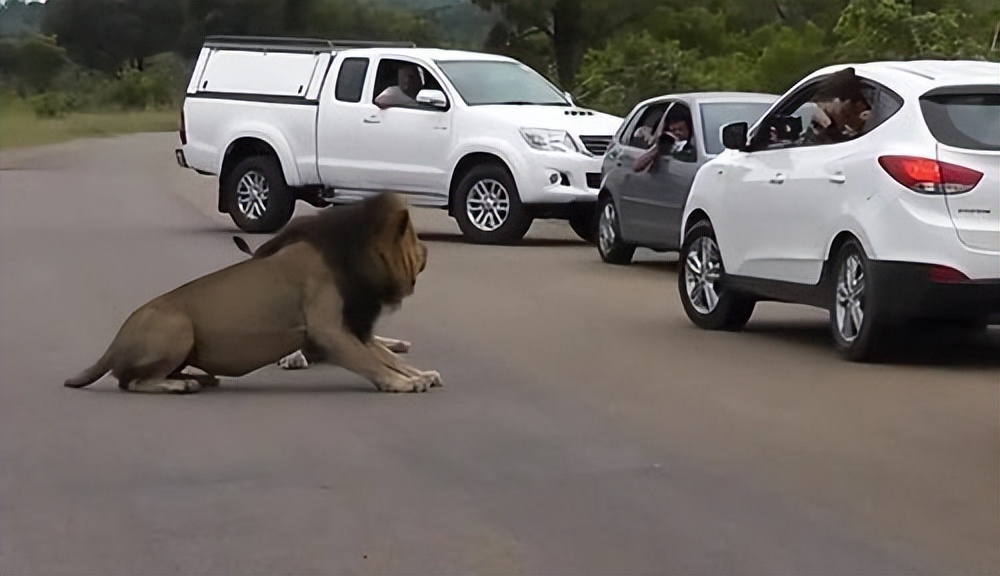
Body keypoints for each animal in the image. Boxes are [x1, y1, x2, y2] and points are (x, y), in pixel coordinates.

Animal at [63, 192, 441, 394]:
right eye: (416, 241)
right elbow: (371, 362)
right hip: (177, 328)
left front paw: (419, 375)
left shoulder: (354, 325)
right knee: (130, 381)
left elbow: (388, 356)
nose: (428, 252)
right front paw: (400, 384)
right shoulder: (328, 331)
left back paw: (198, 378)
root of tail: (114, 342)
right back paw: (180, 385)